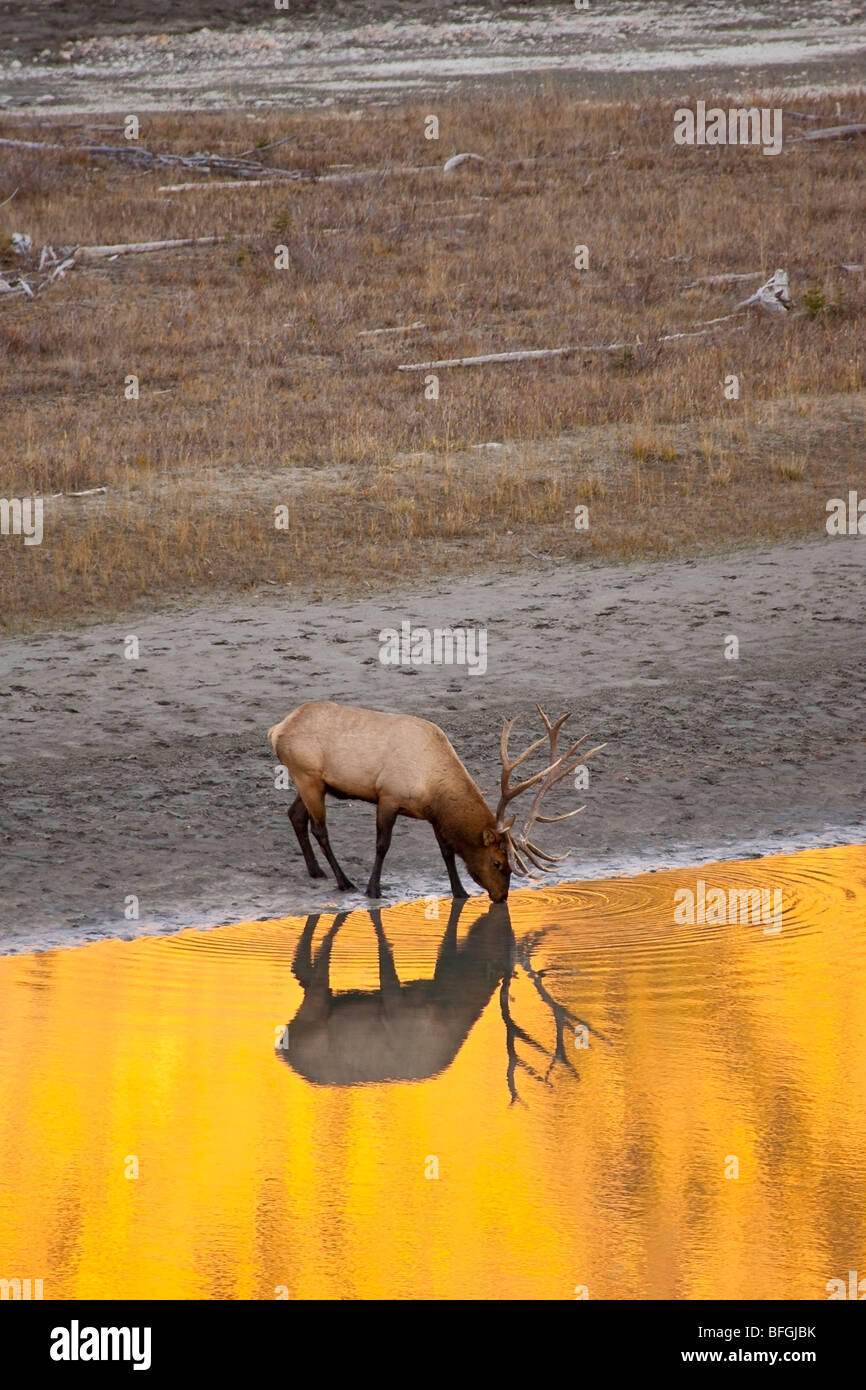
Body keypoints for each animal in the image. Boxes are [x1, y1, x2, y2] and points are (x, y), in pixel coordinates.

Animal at [267, 700, 604, 902]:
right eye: (497, 862)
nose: (502, 896)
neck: (433, 786)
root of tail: (277, 729)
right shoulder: (388, 796)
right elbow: (382, 845)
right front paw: (373, 889)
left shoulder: (431, 815)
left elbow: (446, 851)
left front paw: (460, 891)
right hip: (307, 775)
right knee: (319, 828)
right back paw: (344, 881)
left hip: (312, 782)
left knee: (295, 815)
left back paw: (316, 871)